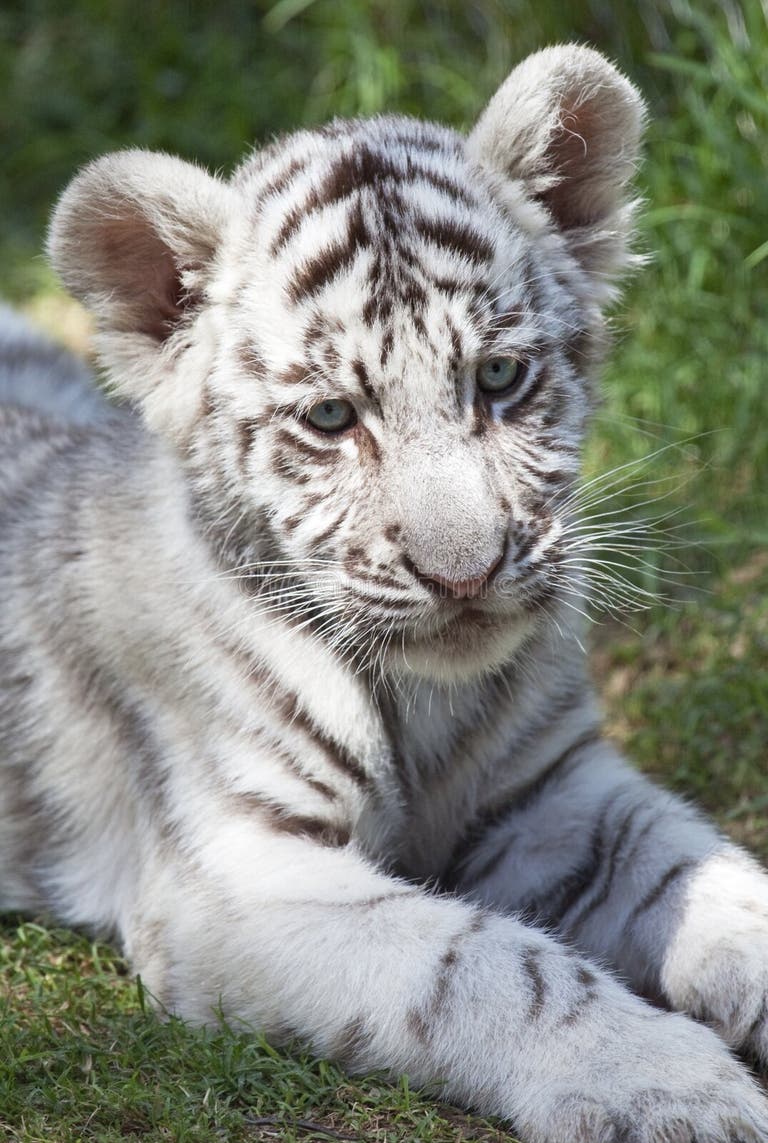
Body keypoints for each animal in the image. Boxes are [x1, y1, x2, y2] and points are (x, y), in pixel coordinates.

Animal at [2, 44, 768, 1143]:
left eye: (500, 377)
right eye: (331, 418)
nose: (466, 571)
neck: (422, 701)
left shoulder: (554, 795)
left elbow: (713, 885)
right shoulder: (237, 873)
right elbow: (486, 963)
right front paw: (673, 1087)